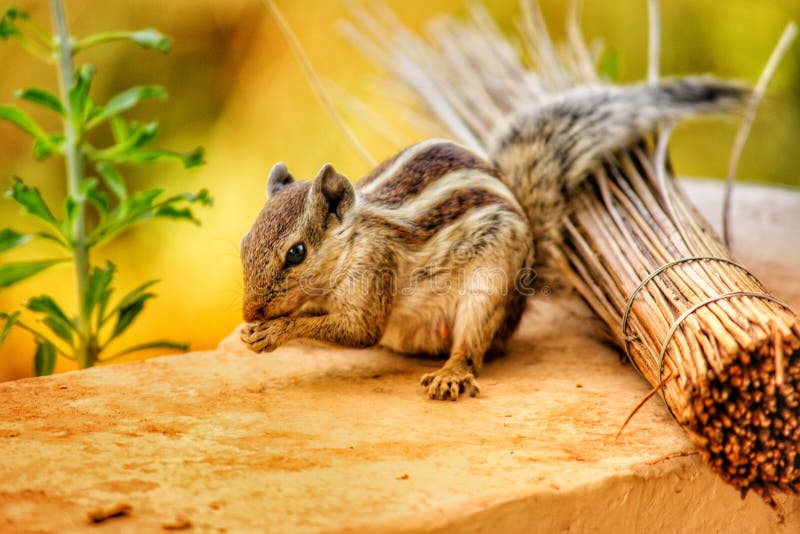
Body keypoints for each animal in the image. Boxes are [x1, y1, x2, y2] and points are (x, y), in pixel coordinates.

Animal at [239, 78, 747, 400]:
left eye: (296, 252)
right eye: (244, 243)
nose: (248, 311)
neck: (352, 242)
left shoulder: (375, 272)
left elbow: (358, 331)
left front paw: (275, 331)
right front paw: (259, 331)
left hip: (488, 288)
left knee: (471, 346)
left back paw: (452, 374)